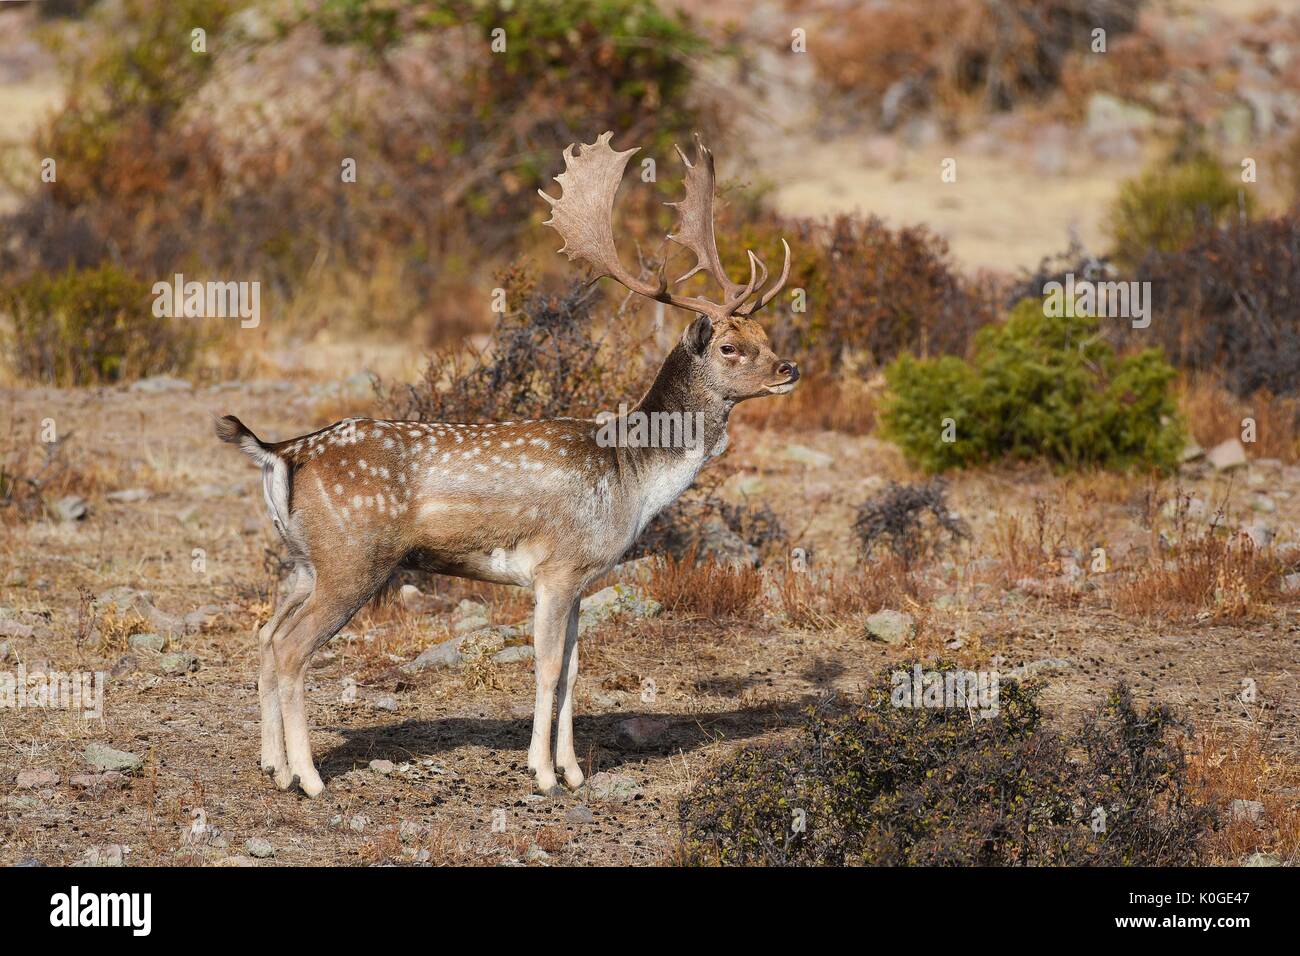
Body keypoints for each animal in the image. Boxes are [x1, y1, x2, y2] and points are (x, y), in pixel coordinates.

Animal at [216, 131, 799, 797]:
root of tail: (281, 451)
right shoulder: (558, 567)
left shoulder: (584, 578)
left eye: (765, 333)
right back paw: (309, 779)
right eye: (730, 346)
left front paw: (574, 771)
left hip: (301, 561)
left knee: (265, 636)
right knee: (291, 649)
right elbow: (545, 669)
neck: (631, 475)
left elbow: (574, 669)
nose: (790, 369)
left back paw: (273, 765)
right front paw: (542, 773)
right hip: (352, 560)